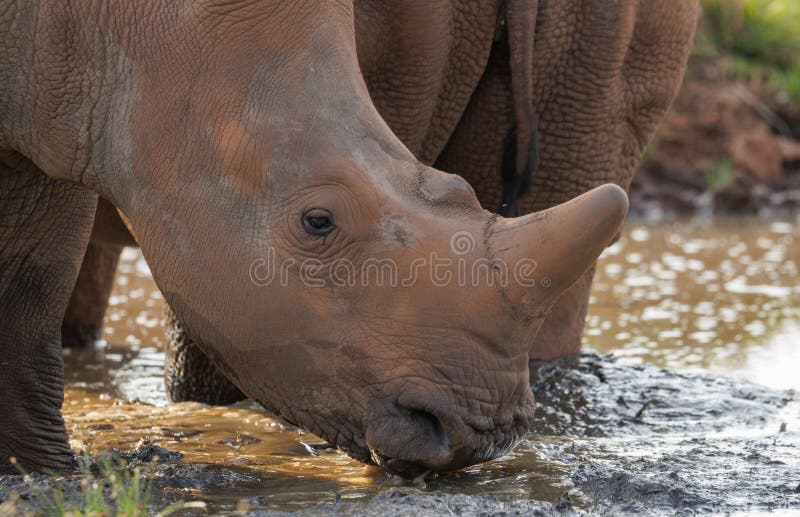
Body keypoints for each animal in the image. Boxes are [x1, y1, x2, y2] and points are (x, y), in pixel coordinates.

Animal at [0, 0, 697, 475]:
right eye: (318, 222)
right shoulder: (57, 100)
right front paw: (44, 474)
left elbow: (32, 277)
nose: (484, 436)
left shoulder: (62, 102)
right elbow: (32, 274)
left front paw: (42, 475)